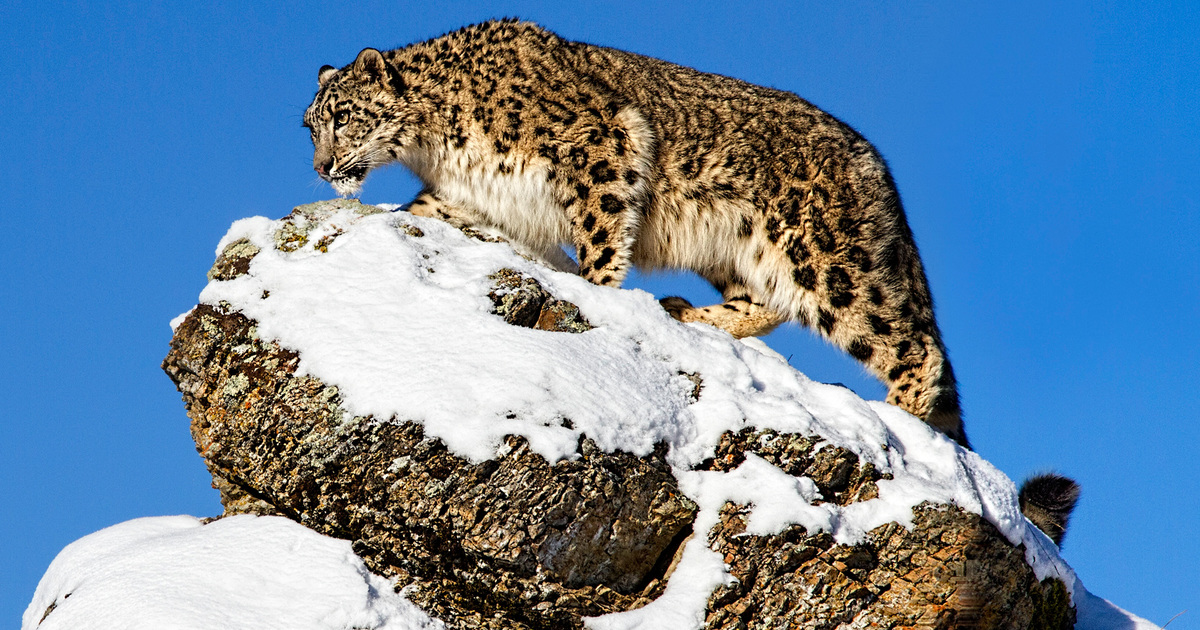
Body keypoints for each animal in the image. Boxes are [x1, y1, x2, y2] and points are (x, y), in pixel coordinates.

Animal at [304, 19, 1078, 543]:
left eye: (341, 117)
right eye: (311, 124)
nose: (321, 166)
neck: (437, 145)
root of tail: (875, 167)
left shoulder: (600, 145)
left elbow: (600, 234)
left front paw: (600, 292)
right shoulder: (471, 199)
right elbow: (428, 215)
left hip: (830, 261)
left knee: (911, 345)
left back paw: (900, 423)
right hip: (741, 253)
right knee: (768, 304)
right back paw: (694, 315)